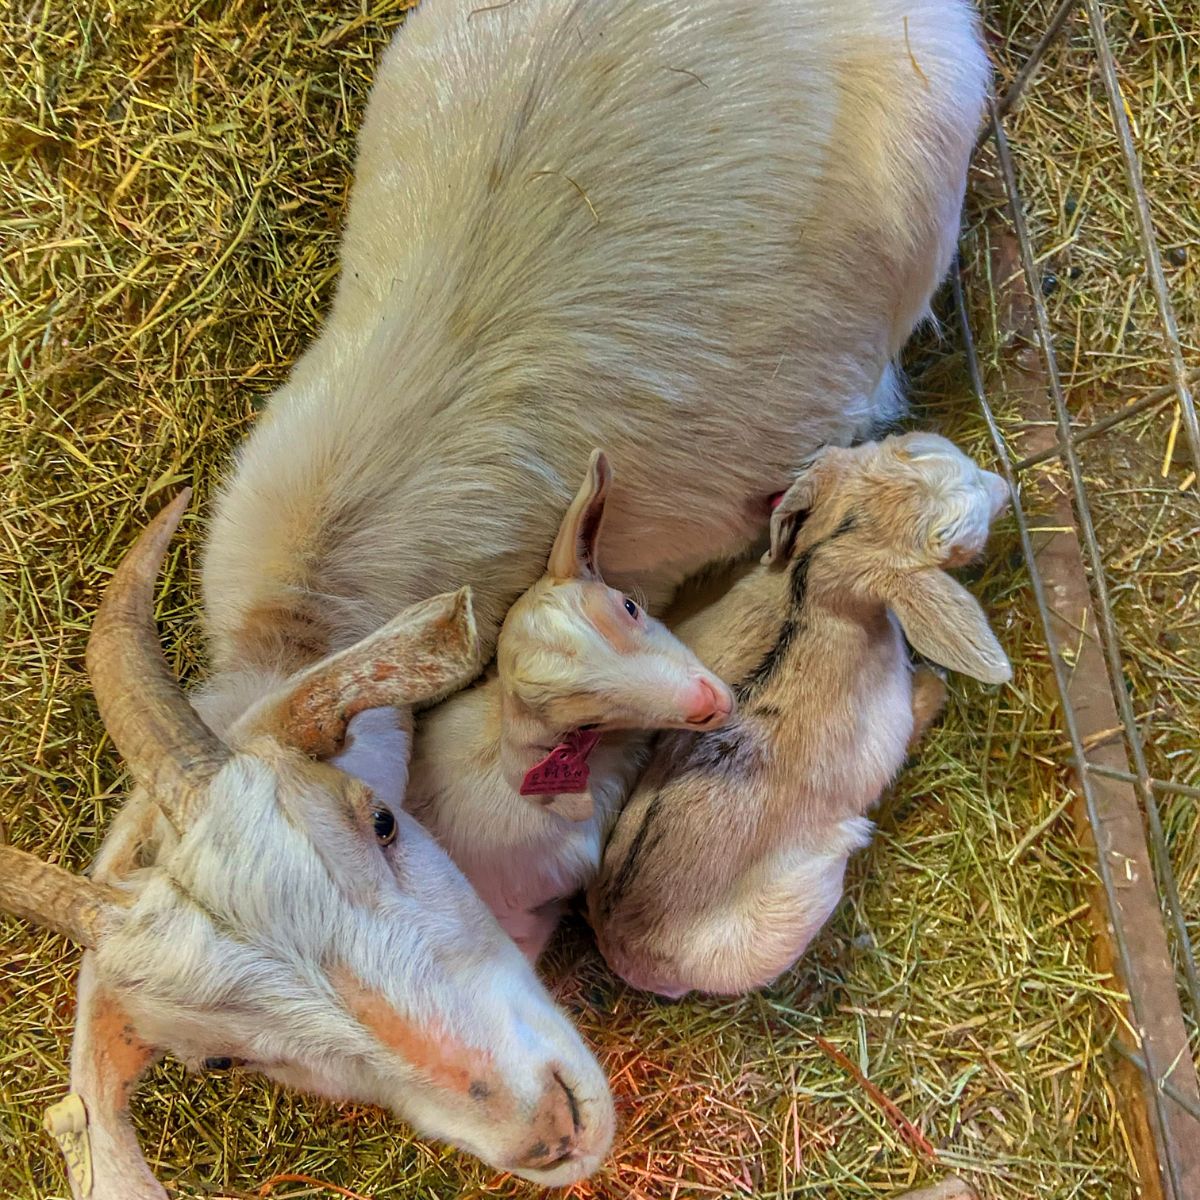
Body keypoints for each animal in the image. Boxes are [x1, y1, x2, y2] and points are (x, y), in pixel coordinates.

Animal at [588, 433, 1011, 997]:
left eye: (905, 444)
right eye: (958, 544)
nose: (1004, 485)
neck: (808, 585)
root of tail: (618, 942)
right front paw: (935, 682)